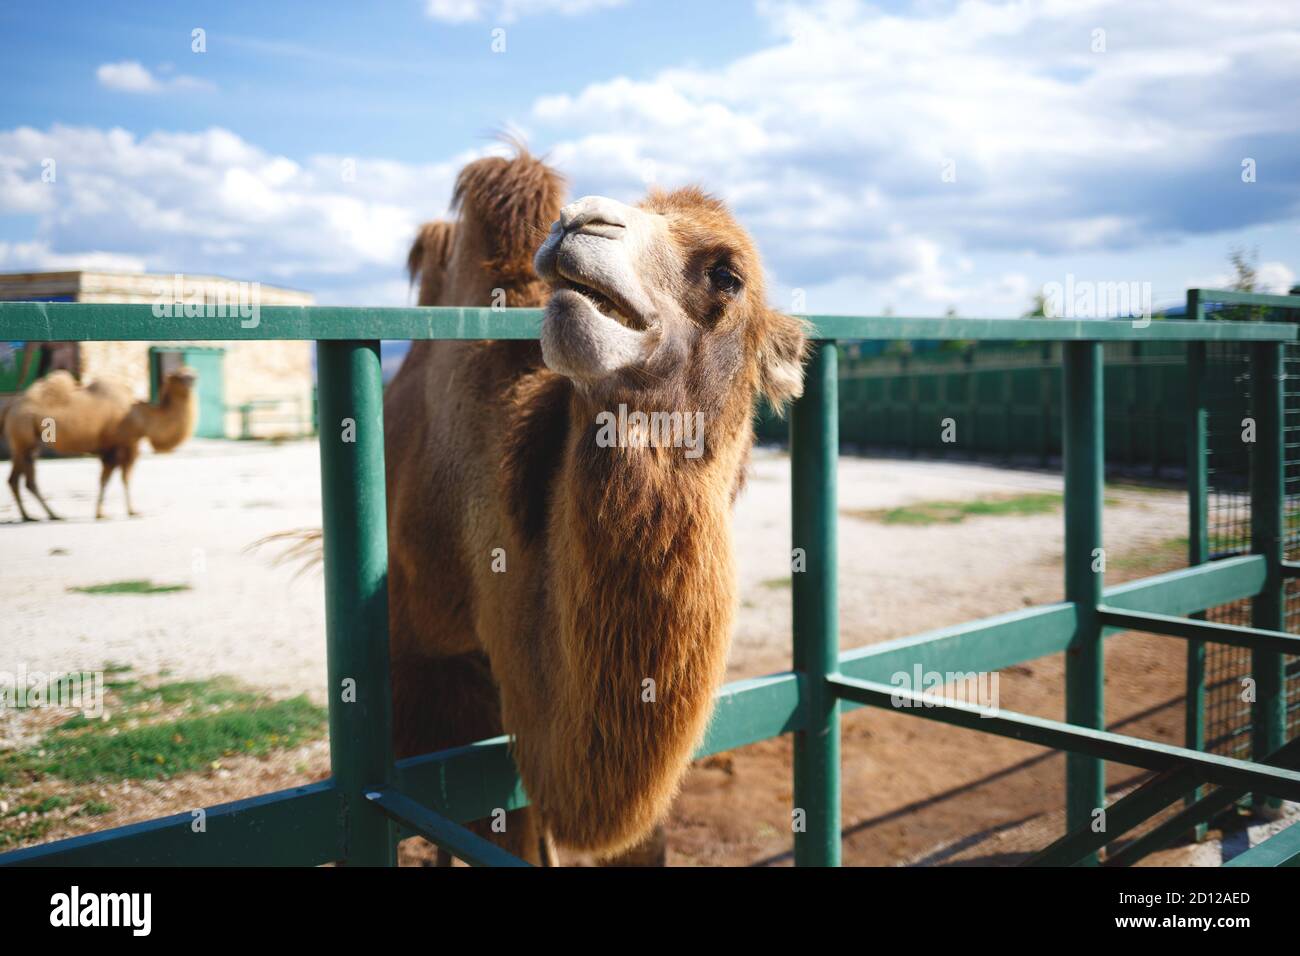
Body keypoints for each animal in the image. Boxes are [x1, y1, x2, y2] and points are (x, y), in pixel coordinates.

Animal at [1, 368, 198, 521]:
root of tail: (11, 407)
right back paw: (51, 515)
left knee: (16, 479)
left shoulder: (115, 448)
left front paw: (105, 512)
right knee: (27, 480)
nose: (193, 379)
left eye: (190, 374)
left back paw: (32, 516)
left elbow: (109, 479)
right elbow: (117, 479)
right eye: (181, 376)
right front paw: (125, 512)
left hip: (23, 443)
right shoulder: (123, 446)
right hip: (24, 437)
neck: (141, 417)